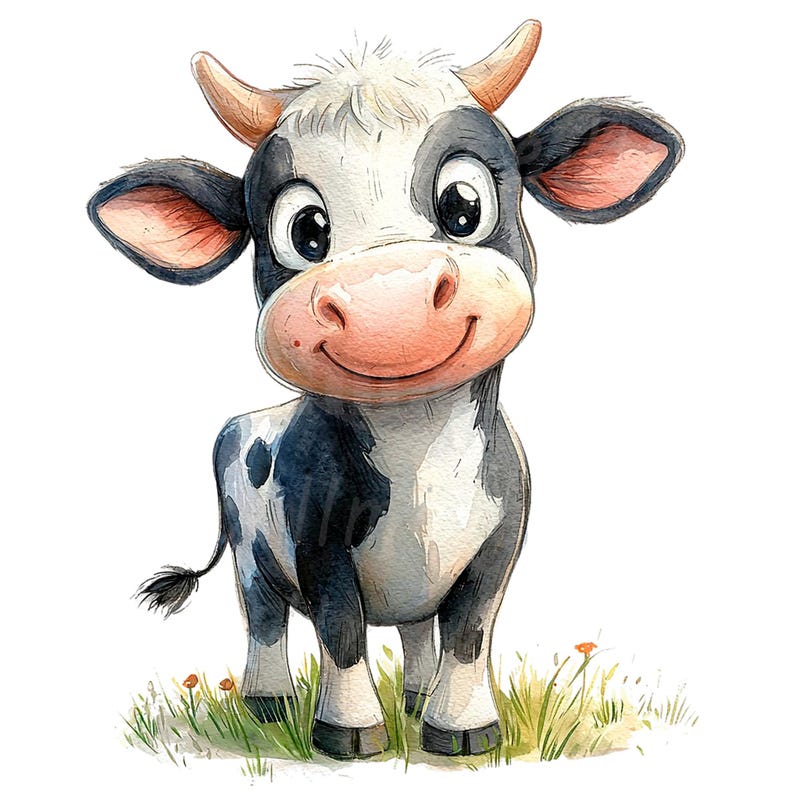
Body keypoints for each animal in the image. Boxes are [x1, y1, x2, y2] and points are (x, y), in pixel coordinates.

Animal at [88, 20, 682, 760]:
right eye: (304, 230)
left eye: (464, 205)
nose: (388, 301)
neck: (419, 446)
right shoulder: (317, 544)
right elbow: (340, 632)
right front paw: (348, 732)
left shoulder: (499, 542)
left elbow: (468, 634)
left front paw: (461, 730)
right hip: (253, 557)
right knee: (264, 619)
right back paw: (269, 705)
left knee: (417, 630)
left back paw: (417, 697)